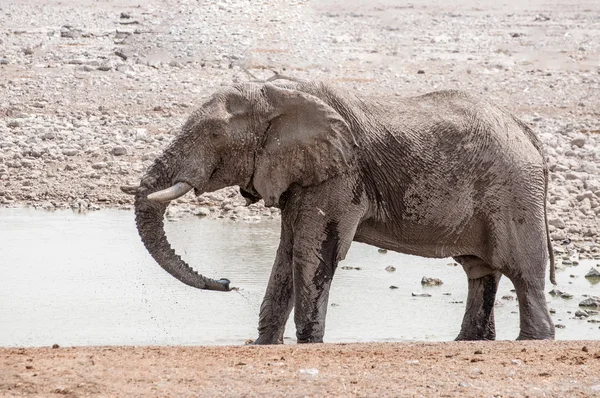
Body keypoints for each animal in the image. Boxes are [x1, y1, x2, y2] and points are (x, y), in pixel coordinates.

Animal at [119, 80, 556, 342]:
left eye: (211, 135)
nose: (226, 283)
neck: (275, 95)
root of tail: (526, 131)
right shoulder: (301, 173)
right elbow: (287, 251)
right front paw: (264, 344)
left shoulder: (341, 174)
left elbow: (313, 251)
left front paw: (309, 343)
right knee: (481, 271)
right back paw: (469, 341)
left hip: (513, 191)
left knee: (524, 272)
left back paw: (534, 341)